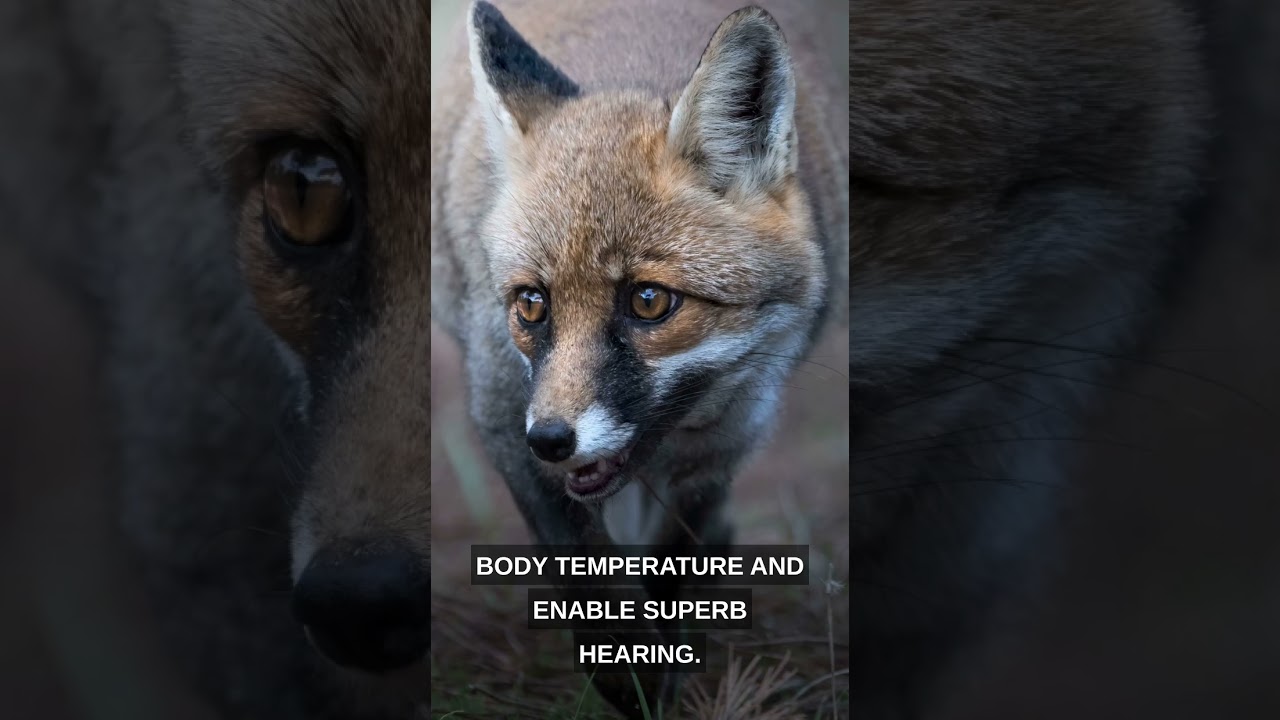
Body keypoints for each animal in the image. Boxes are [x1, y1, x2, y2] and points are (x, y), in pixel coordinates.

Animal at [430, 0, 847, 714]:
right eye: (531, 305)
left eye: (649, 301)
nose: (552, 439)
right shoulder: (503, 416)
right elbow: (586, 576)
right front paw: (631, 681)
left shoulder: (722, 448)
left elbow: (673, 568)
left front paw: (664, 674)